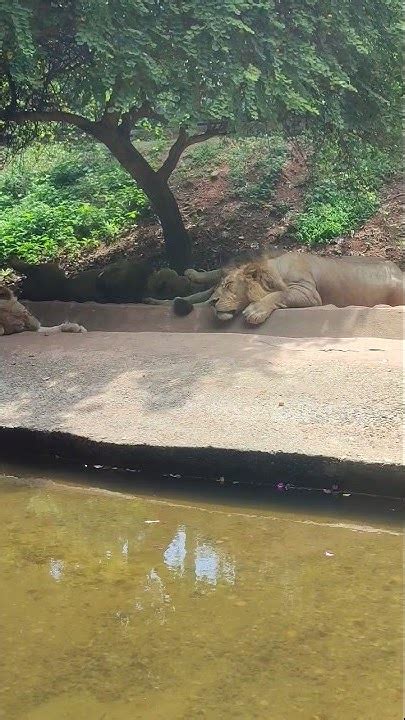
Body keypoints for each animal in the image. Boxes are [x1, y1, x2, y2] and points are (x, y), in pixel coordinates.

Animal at [166, 253, 405, 324]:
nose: (214, 302)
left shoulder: (308, 292)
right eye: (221, 287)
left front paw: (255, 311)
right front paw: (193, 277)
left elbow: (282, 293)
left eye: (230, 285)